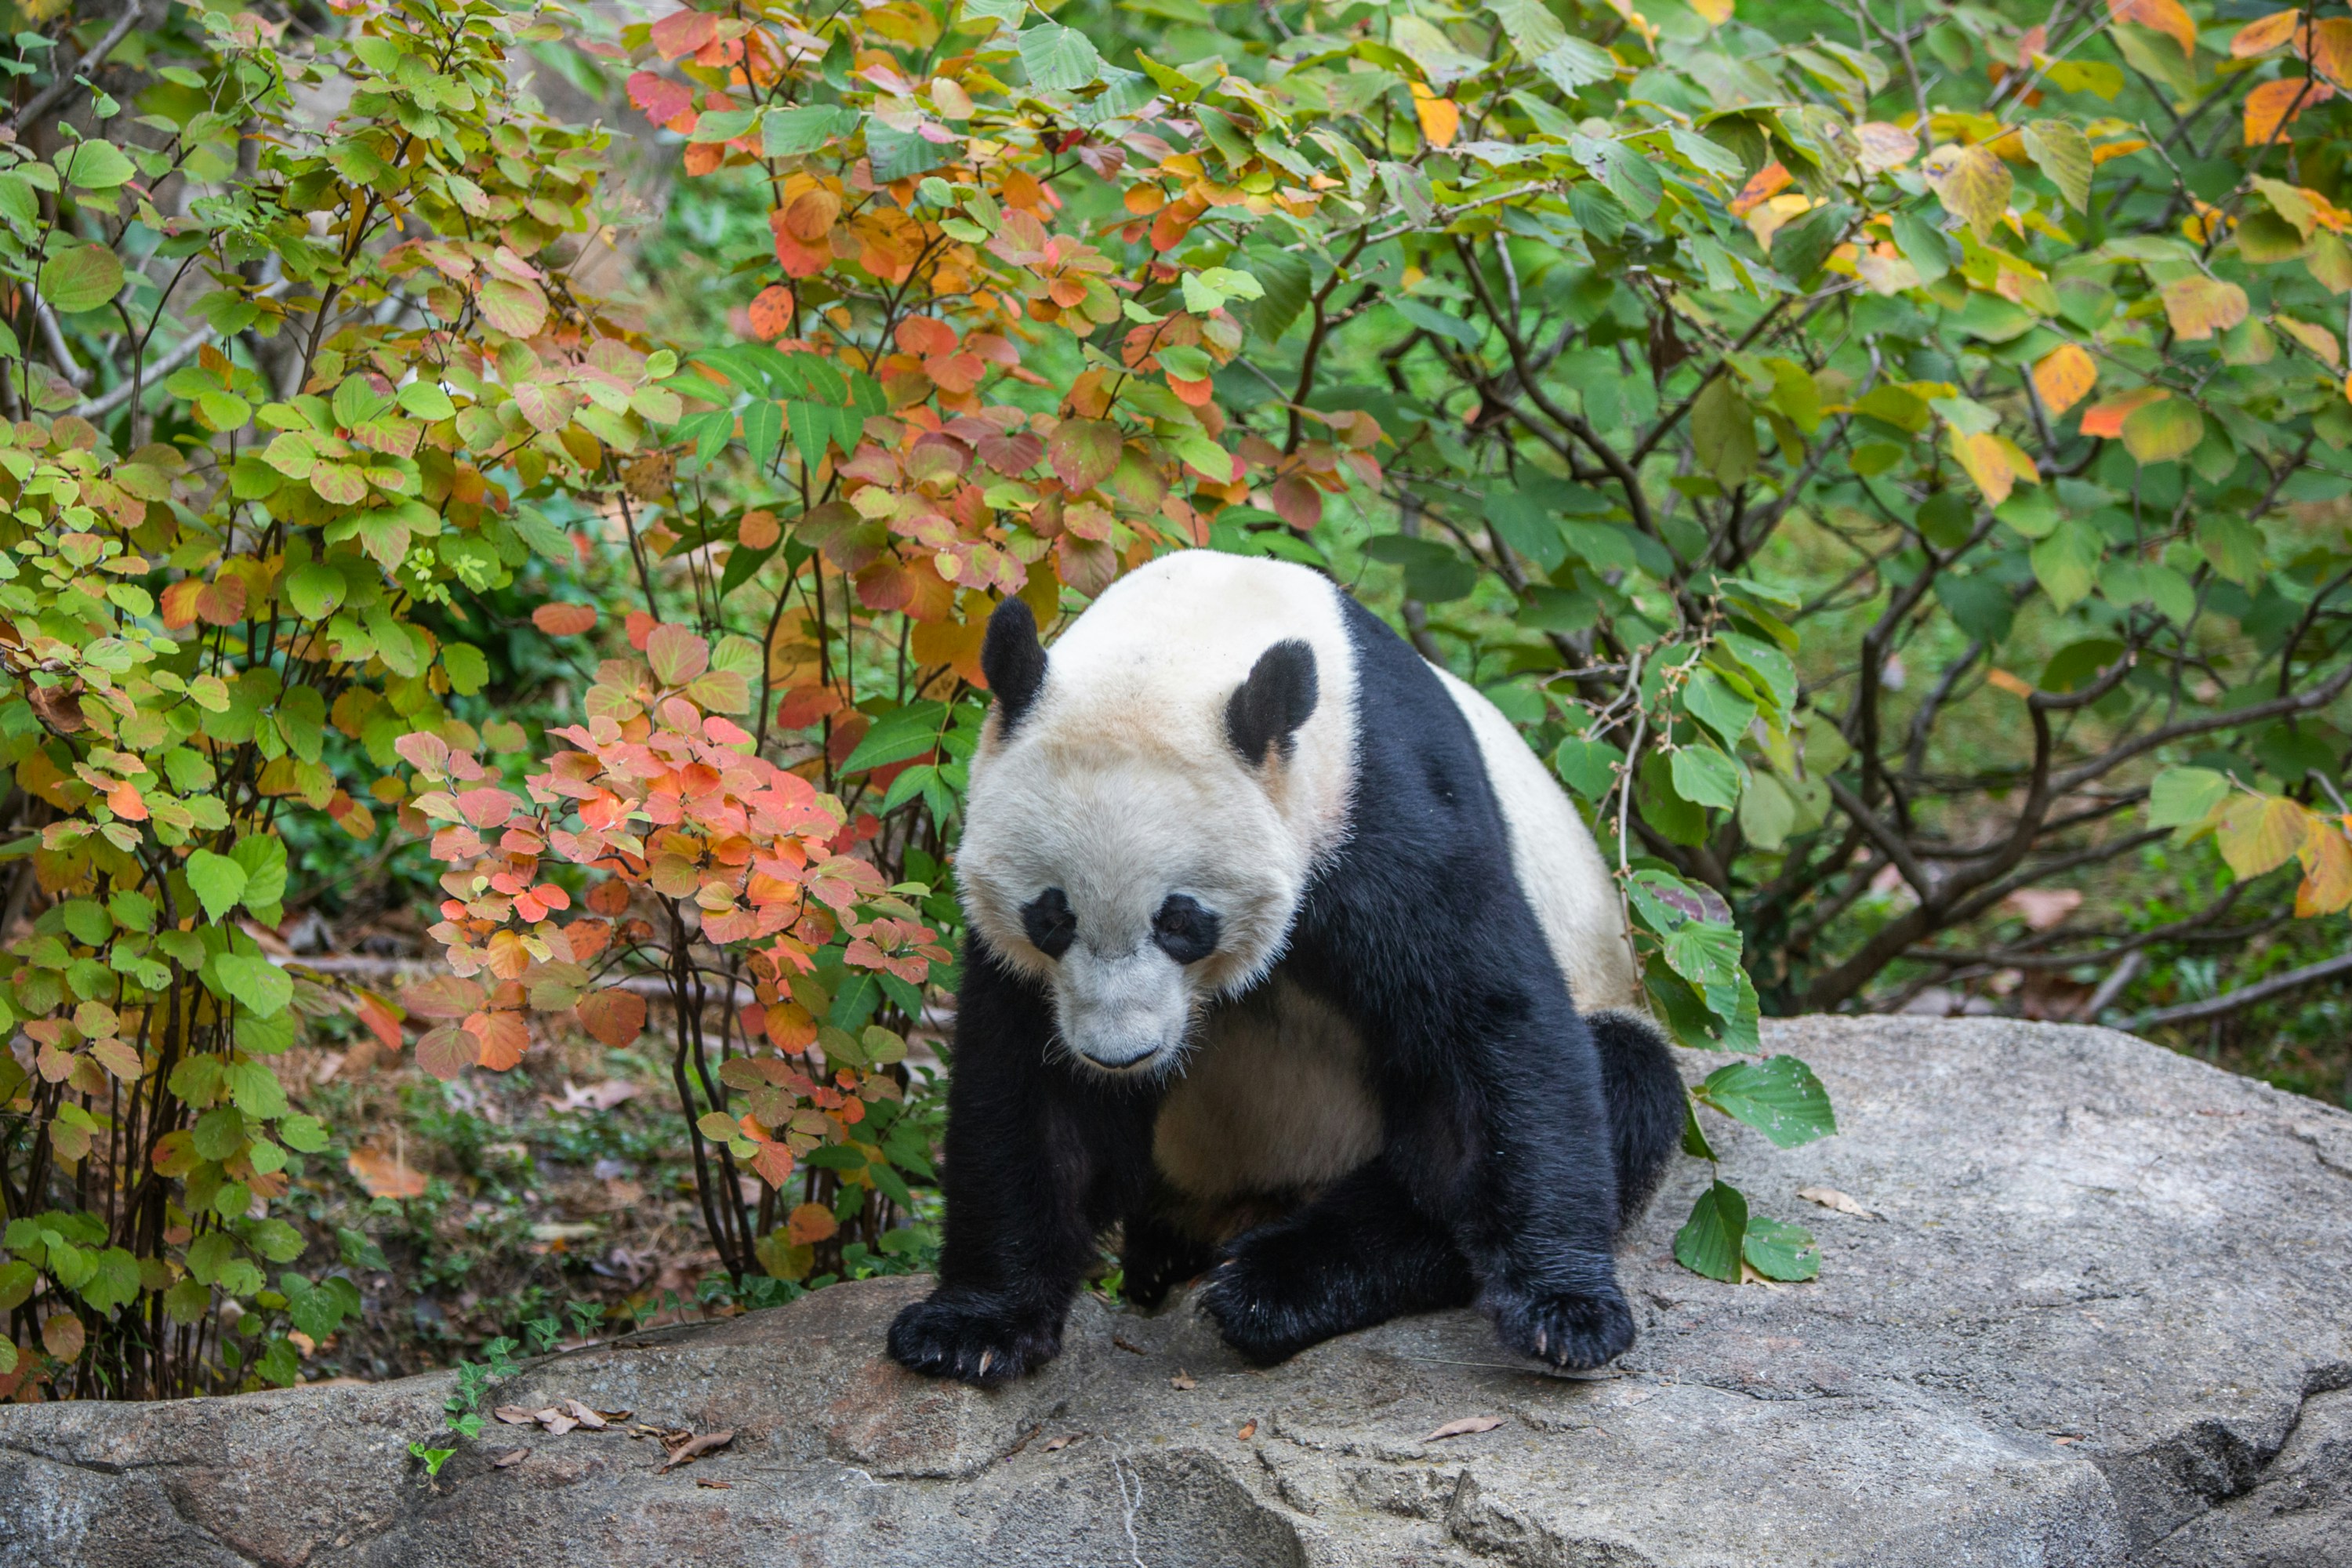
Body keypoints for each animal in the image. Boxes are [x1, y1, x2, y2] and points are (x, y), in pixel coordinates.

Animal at [886, 550, 1683, 1384]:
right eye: (1051, 917)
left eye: (1181, 922)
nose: (1120, 1056)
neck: (1193, 630)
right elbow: (1030, 1094)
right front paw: (974, 1326)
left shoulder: (1383, 803)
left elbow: (1487, 1033)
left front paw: (1567, 1313)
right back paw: (1170, 1260)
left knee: (1627, 1081)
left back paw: (1274, 1285)